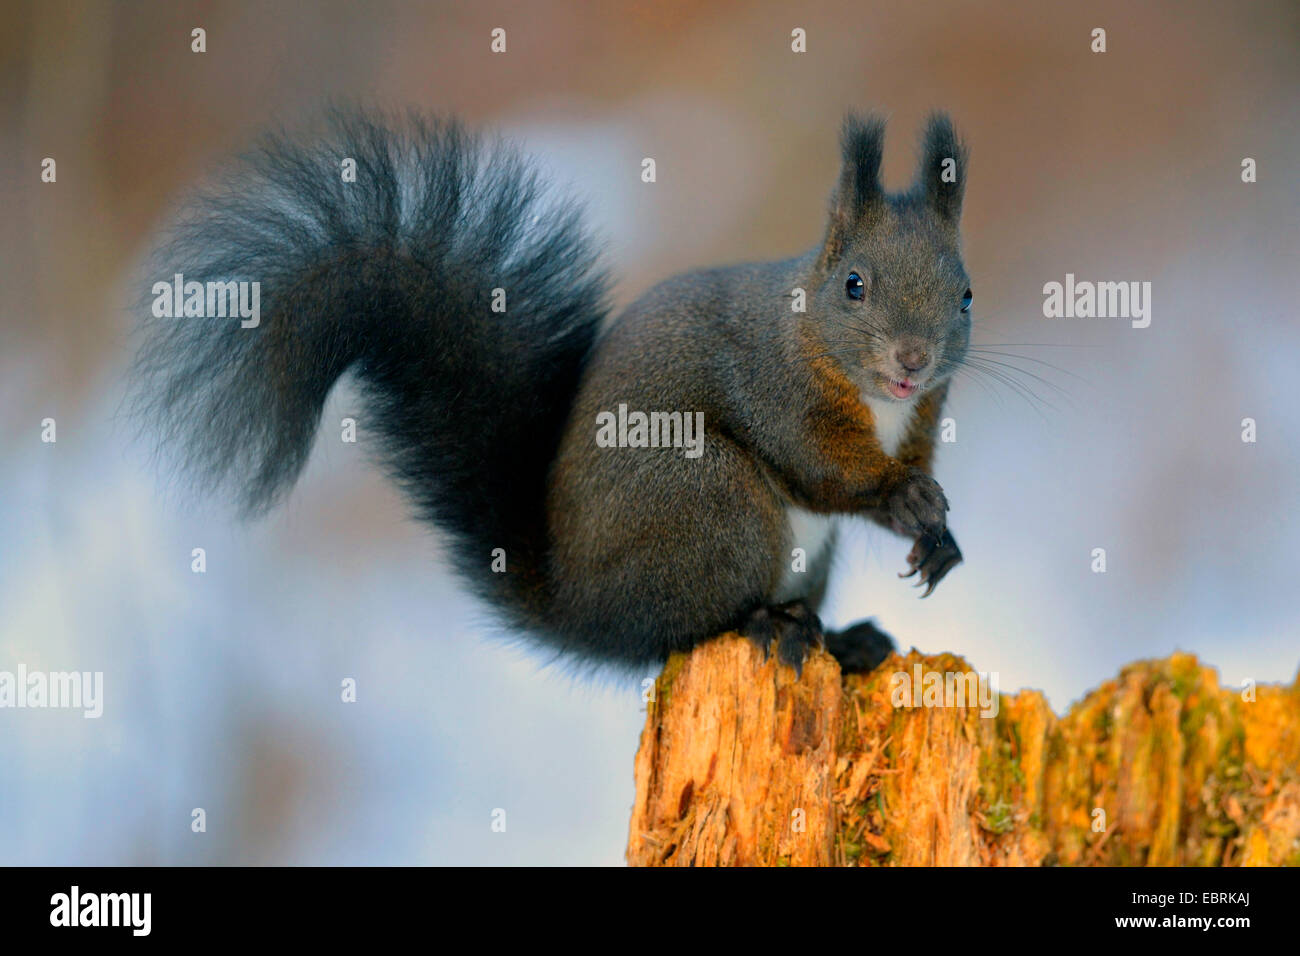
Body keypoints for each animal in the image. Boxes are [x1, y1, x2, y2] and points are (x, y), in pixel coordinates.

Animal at [134, 108, 971, 677]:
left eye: (964, 293)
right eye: (854, 285)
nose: (914, 358)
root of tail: (582, 609)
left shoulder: (924, 414)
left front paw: (940, 536)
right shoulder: (777, 390)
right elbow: (822, 470)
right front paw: (902, 498)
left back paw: (844, 640)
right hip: (707, 497)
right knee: (688, 628)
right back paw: (770, 625)